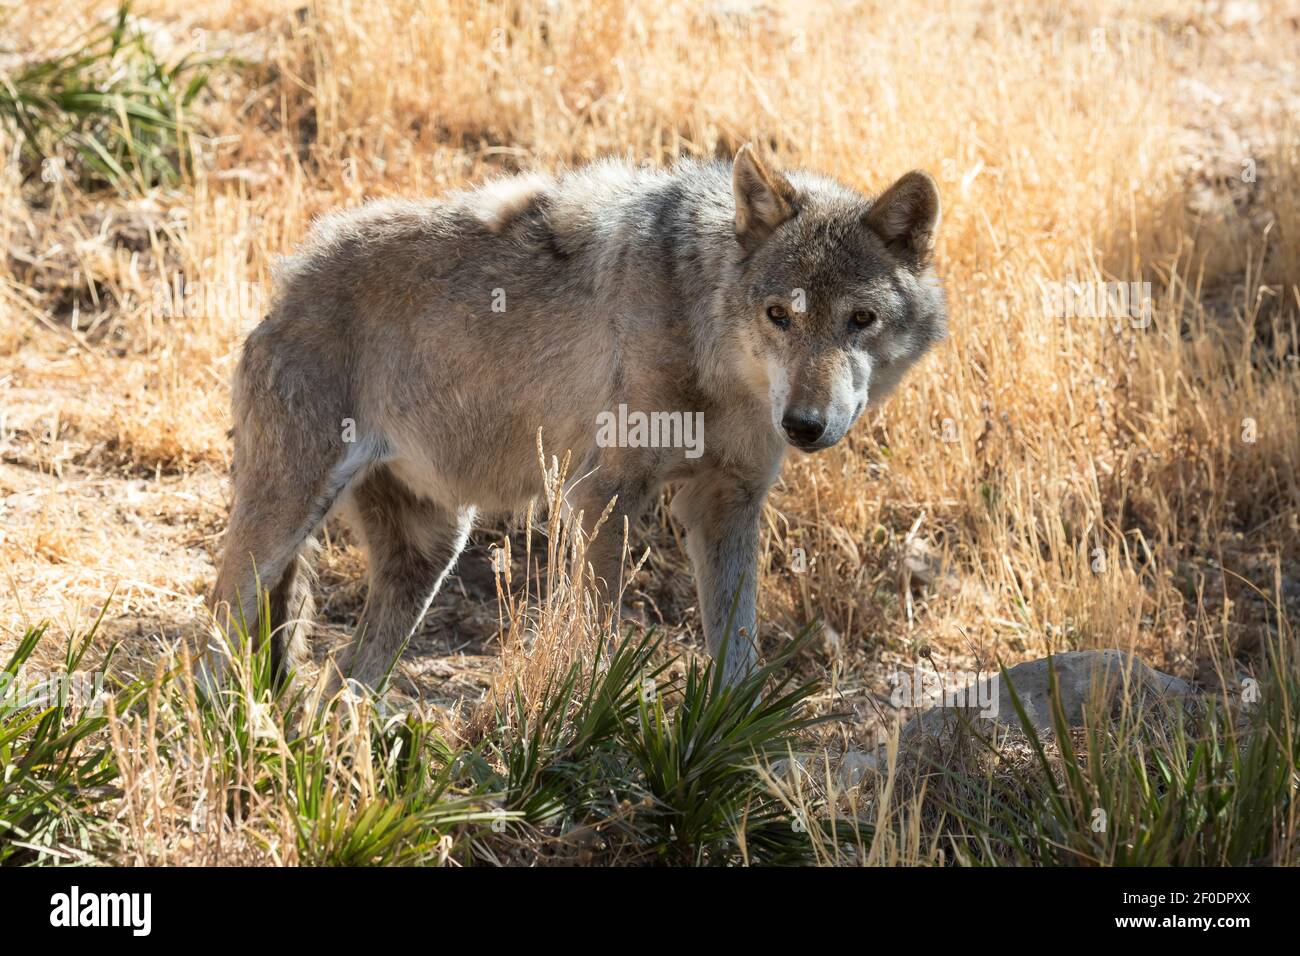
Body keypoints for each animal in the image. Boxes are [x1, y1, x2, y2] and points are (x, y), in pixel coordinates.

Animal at [206, 145, 947, 695]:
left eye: (861, 319)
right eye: (779, 316)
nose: (804, 425)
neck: (704, 338)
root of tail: (291, 275)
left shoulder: (726, 500)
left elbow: (736, 647)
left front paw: (732, 749)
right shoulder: (601, 494)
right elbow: (597, 637)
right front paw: (585, 724)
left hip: (429, 550)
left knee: (343, 677)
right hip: (285, 522)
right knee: (217, 630)